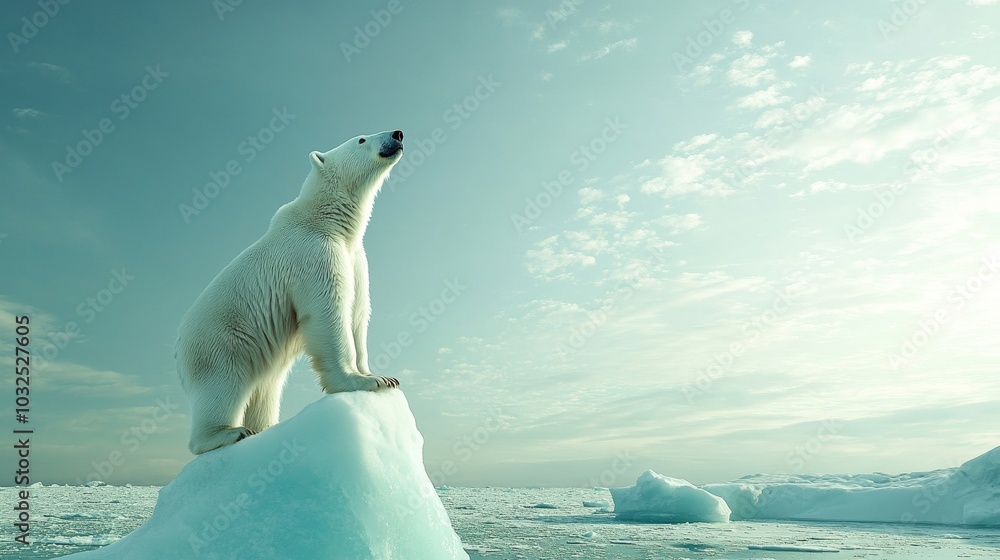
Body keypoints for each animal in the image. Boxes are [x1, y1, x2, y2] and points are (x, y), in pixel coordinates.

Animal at [175, 130, 405, 455]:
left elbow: (358, 313)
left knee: (264, 392)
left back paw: (265, 427)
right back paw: (230, 433)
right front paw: (358, 381)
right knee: (222, 387)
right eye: (361, 139)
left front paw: (377, 374)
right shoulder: (314, 253)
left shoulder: (355, 257)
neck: (324, 219)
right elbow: (329, 313)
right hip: (220, 344)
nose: (397, 134)